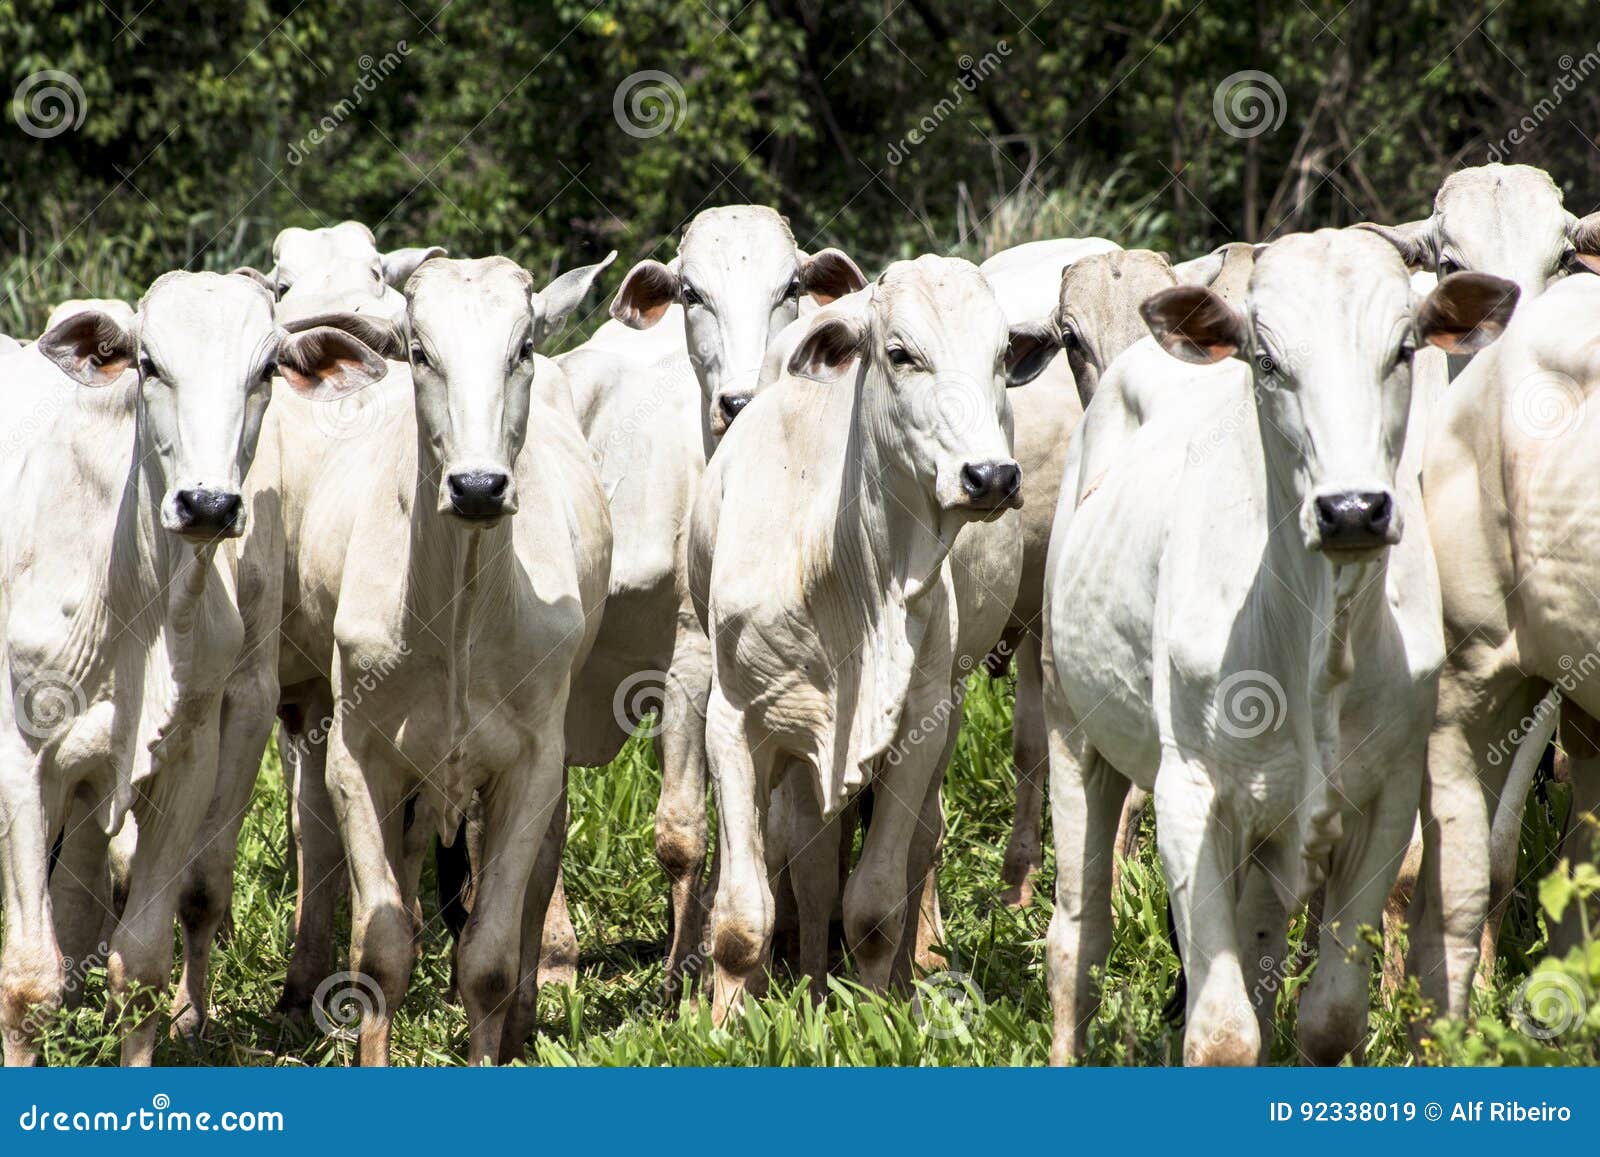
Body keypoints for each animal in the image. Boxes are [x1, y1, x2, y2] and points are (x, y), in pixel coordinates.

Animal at [0, 272, 387, 1065]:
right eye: (150, 365)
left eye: (266, 370)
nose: (207, 503)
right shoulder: (22, 764)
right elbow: (26, 982)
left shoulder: (188, 759)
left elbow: (144, 963)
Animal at [688, 255, 1056, 1017]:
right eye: (900, 353)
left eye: (1000, 354)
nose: (991, 476)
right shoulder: (735, 724)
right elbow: (742, 915)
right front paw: (727, 1018)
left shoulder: (919, 722)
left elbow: (876, 906)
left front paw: (879, 1010)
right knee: (807, 849)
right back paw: (804, 975)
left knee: (918, 843)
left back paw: (910, 965)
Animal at [1040, 228, 1516, 1065]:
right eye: (1265, 360)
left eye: (1403, 347)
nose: (1352, 508)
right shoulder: (1189, 793)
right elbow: (1223, 1034)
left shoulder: (1385, 797)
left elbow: (1330, 1016)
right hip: (1071, 725)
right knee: (1078, 934)